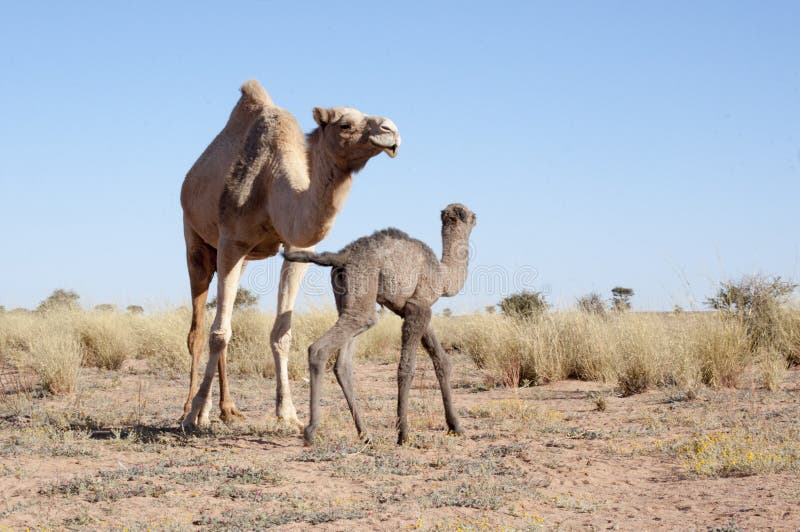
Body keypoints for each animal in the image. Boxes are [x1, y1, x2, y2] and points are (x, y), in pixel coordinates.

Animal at [180, 80, 401, 429]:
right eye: (345, 124)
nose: (391, 130)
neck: (270, 183)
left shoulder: (296, 248)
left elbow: (281, 332)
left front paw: (288, 412)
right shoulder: (231, 241)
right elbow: (218, 334)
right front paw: (199, 413)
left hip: (241, 260)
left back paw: (229, 409)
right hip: (196, 241)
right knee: (199, 330)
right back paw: (189, 408)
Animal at [284, 203, 476, 445]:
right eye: (471, 215)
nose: (476, 217)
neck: (443, 276)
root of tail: (342, 255)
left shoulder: (414, 308)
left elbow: (442, 361)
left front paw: (456, 426)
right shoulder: (418, 307)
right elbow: (406, 368)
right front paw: (403, 434)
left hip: (347, 298)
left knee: (343, 364)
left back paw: (364, 433)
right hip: (363, 291)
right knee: (319, 349)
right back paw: (311, 431)